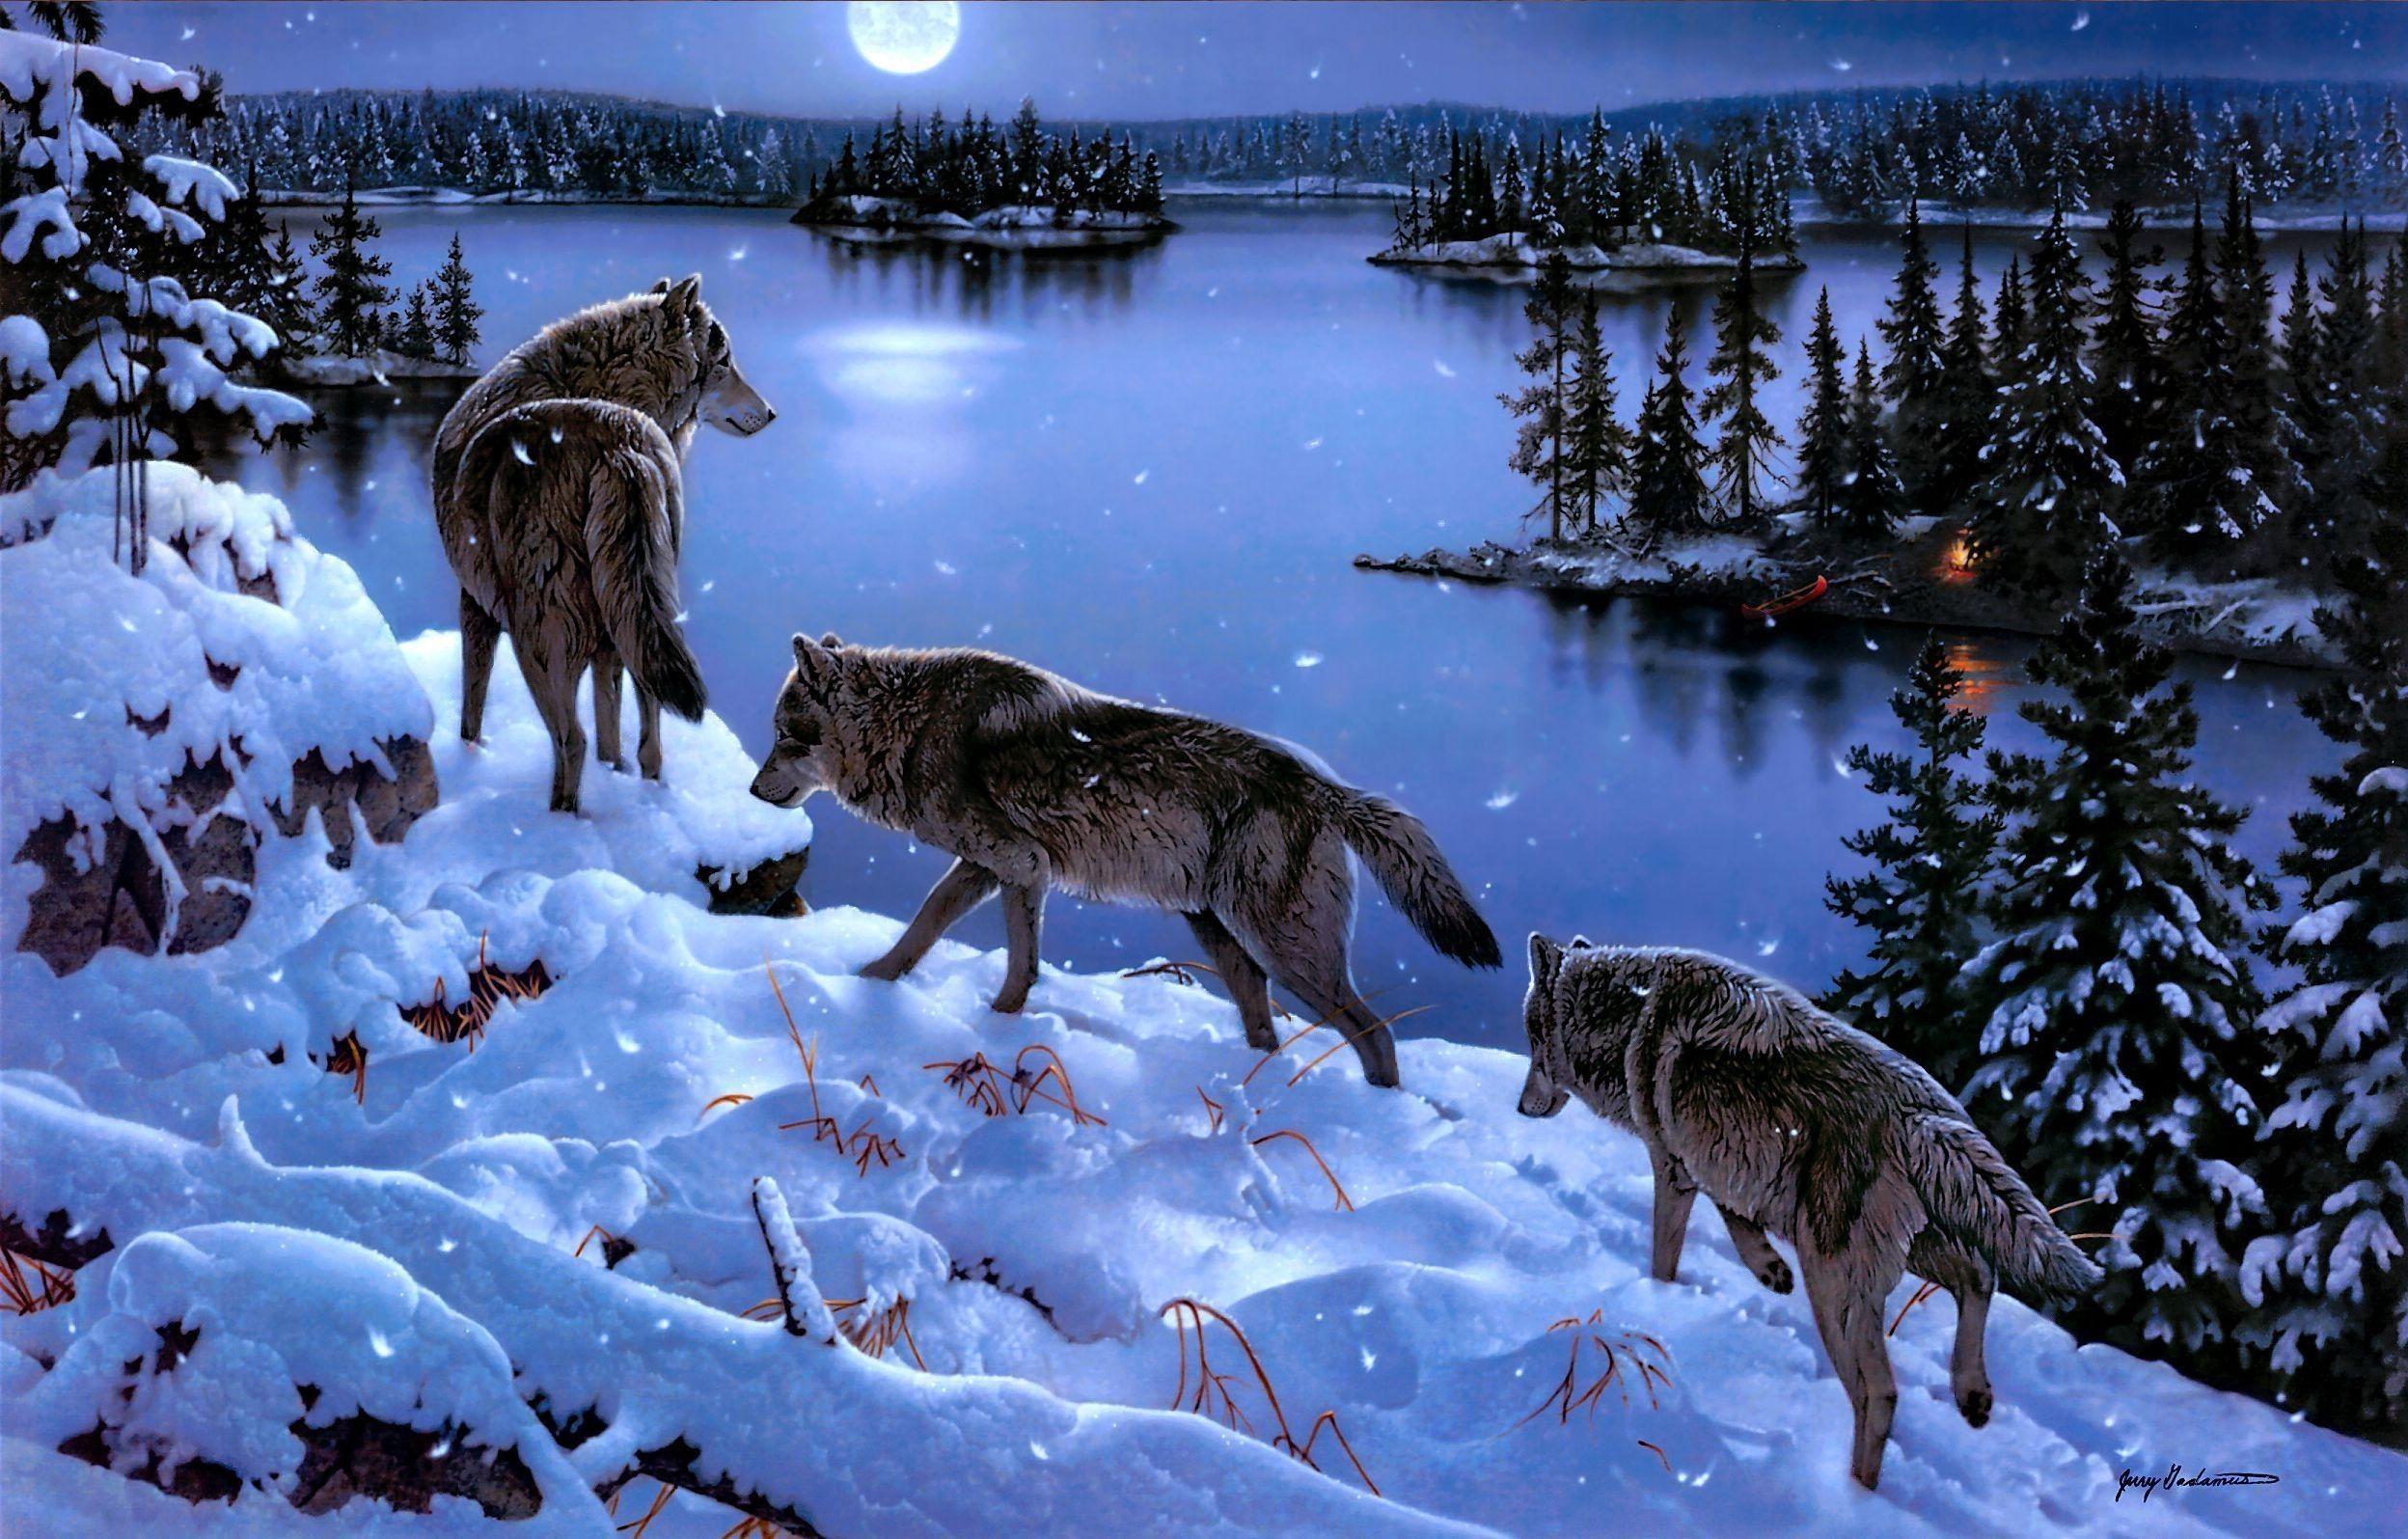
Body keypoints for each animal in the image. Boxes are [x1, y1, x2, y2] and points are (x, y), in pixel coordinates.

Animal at [430, 275, 774, 812]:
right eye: (724, 362)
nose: (772, 413)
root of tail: (617, 444)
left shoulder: (476, 604)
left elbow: (472, 705)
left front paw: (471, 759)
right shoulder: (607, 634)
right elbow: (610, 719)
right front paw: (615, 771)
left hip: (540, 638)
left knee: (570, 740)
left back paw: (560, 821)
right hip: (642, 612)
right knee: (650, 731)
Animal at [748, 635, 1502, 1086]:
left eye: (784, 735)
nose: (754, 790)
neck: (907, 725)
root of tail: (1327, 785)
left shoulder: (1019, 861)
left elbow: (1006, 952)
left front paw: (997, 1021)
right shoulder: (992, 867)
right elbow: (928, 926)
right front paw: (874, 979)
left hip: (1287, 951)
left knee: (1376, 1034)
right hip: (1220, 933)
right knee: (1265, 1019)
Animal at [1515, 936, 2101, 1491]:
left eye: (1531, 1040)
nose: (1520, 1108)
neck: (1627, 1013)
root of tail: (1918, 1118)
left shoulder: (1673, 1166)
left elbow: (1665, 1257)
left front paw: (1656, 1304)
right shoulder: (1726, 1164)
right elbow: (1737, 1217)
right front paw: (1769, 1271)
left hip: (1834, 1285)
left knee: (1880, 1392)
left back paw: (1854, 1494)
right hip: (1908, 1253)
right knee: (1979, 1278)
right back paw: (1972, 1395)